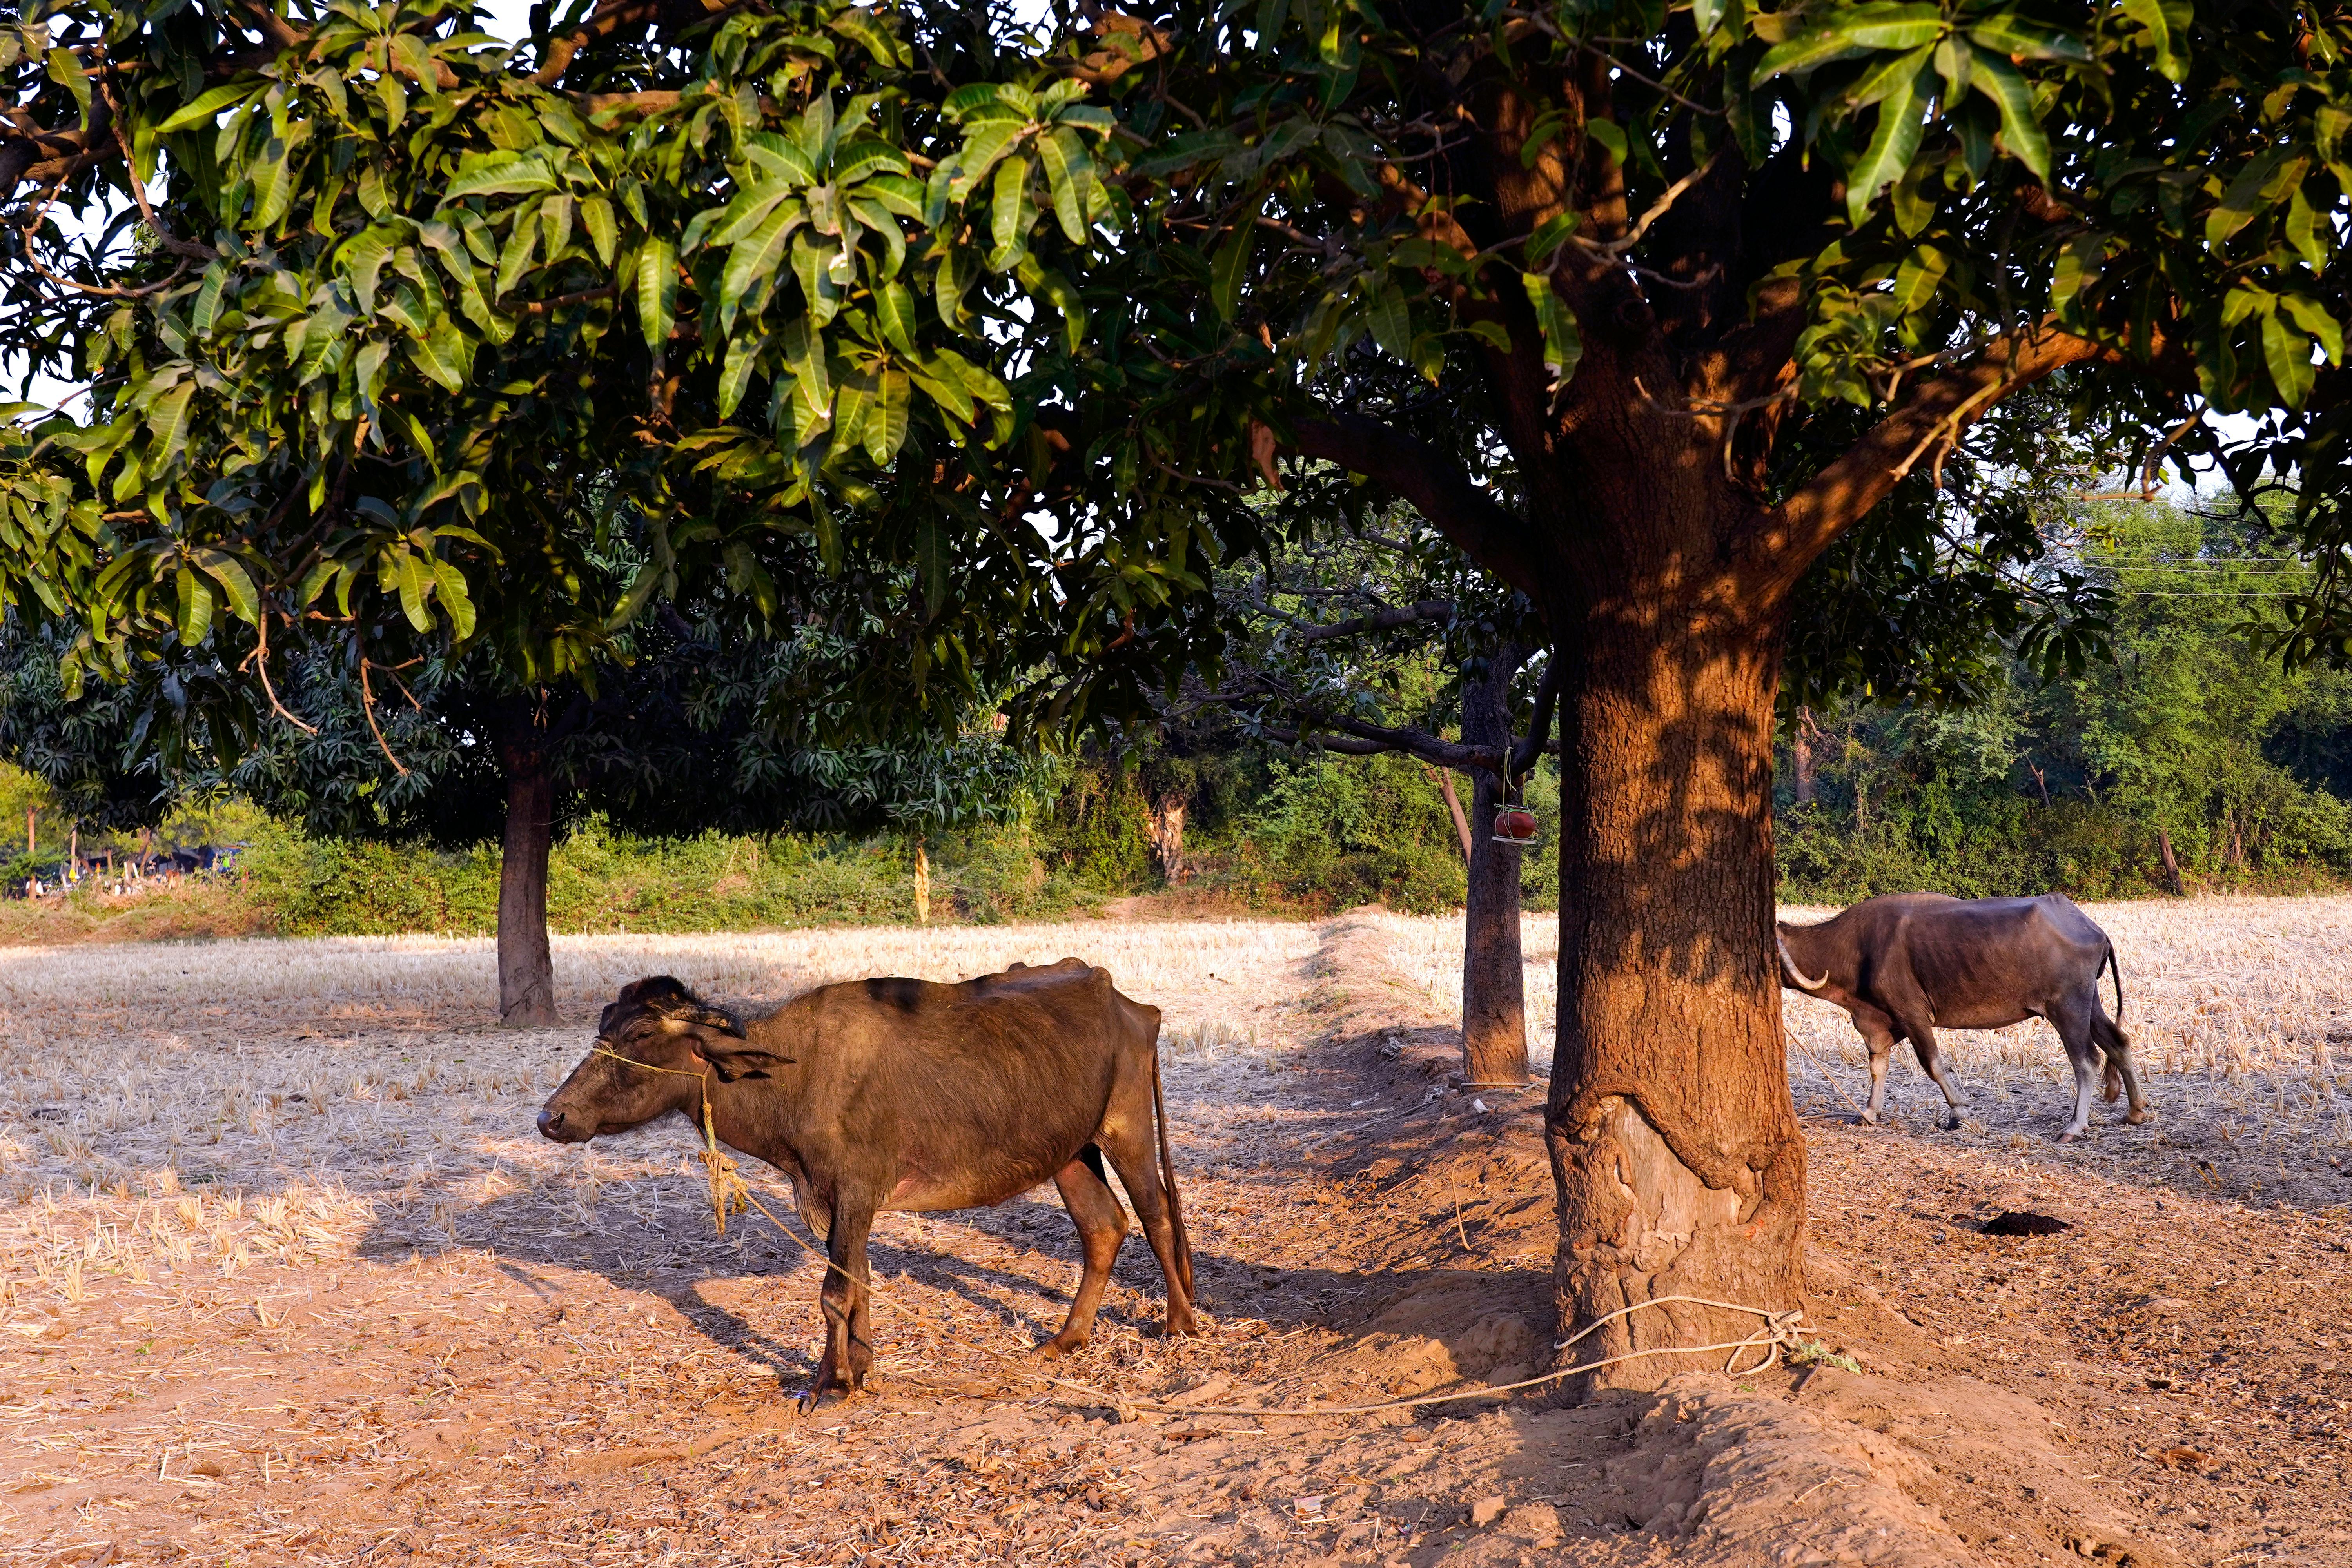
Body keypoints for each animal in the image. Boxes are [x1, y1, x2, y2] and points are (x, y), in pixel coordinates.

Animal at [536, 960, 1198, 1407]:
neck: (796, 1076)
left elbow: (833, 1291)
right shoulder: (839, 1204)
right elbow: (858, 1281)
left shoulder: (855, 1193)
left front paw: (830, 1383)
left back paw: (1179, 1324)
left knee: (1158, 1215)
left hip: (1127, 1127)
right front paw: (861, 1368)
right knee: (1103, 1228)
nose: (552, 1118)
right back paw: (1067, 1338)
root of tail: (1133, 1008)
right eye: (605, 1030)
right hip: (1068, 1152)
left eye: (643, 1037)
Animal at [1775, 892, 2147, 1142]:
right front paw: (1869, 1111)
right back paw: (2135, 1111)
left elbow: (1933, 1064)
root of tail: (2093, 930)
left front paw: (1960, 1114)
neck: (1853, 947)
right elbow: (1878, 1064)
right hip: (2091, 1004)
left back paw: (2074, 1126)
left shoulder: (1913, 1015)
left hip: (2068, 1009)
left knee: (2086, 1061)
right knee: (2118, 1043)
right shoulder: (1878, 1021)